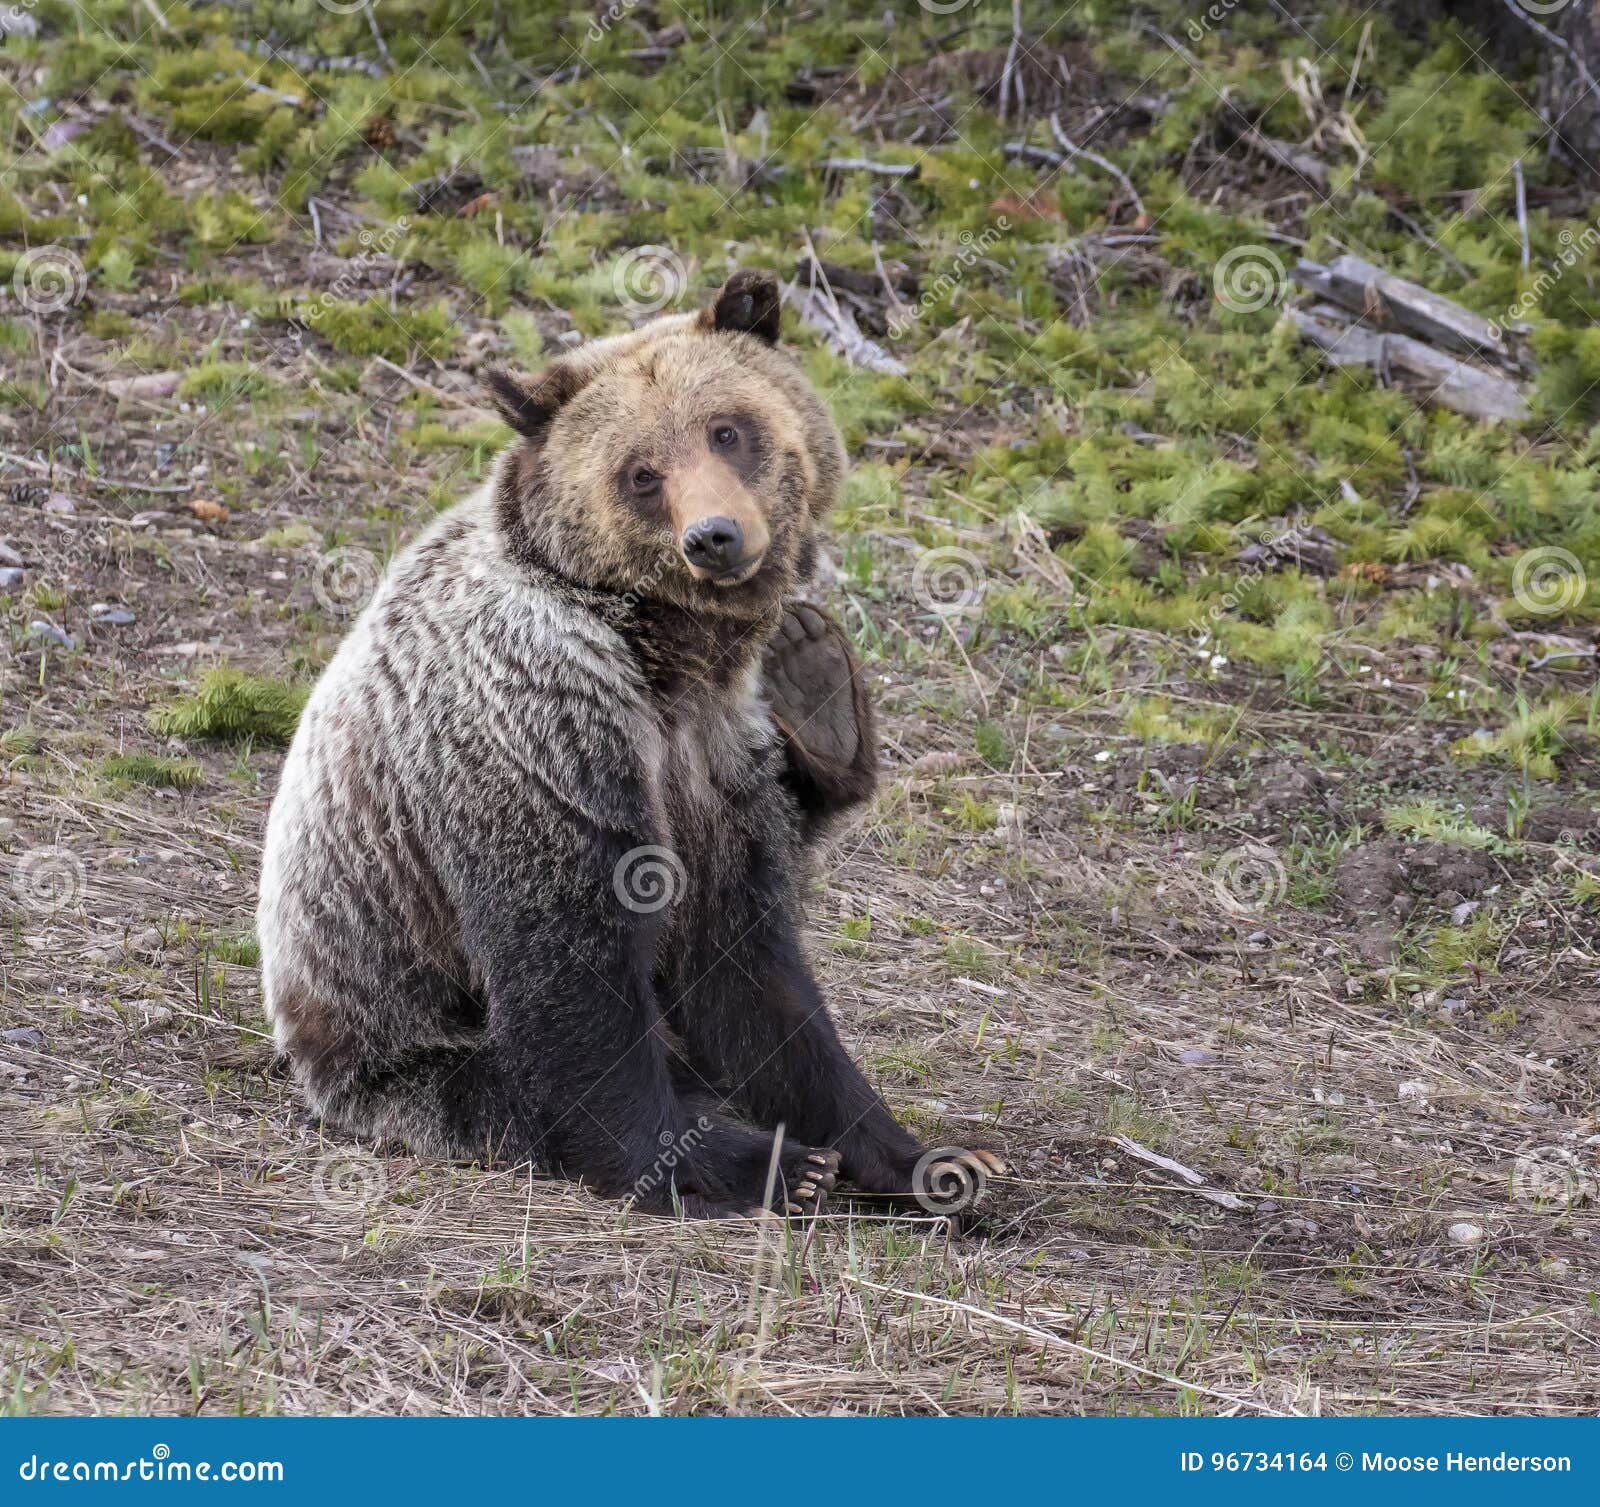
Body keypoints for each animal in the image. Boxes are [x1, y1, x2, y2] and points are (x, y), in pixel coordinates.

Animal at [257, 269, 1003, 1217]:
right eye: (641, 472)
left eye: (728, 428)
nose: (715, 535)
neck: (665, 654)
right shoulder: (540, 725)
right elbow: (574, 966)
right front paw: (736, 1159)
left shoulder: (719, 756)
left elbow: (754, 971)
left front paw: (915, 1156)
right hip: (393, 1034)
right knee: (490, 1084)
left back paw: (820, 685)